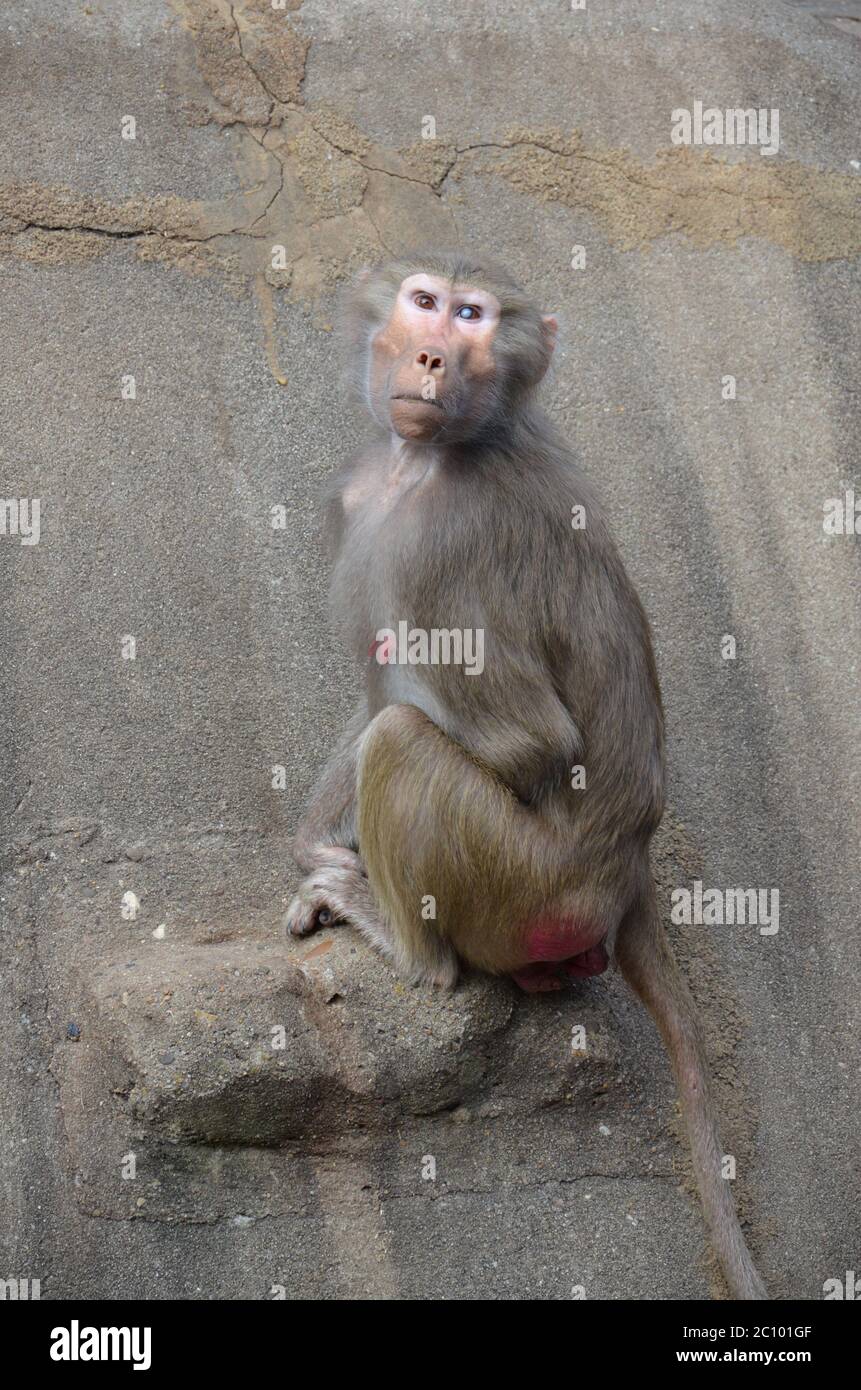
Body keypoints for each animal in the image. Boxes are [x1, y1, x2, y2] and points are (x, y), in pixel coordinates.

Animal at [286, 252, 768, 1301]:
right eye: (425, 303)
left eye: (472, 316)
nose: (431, 354)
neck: (430, 458)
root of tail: (626, 875)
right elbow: (373, 684)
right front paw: (306, 840)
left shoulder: (438, 544)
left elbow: (527, 742)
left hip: (523, 883)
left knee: (403, 741)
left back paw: (406, 946)